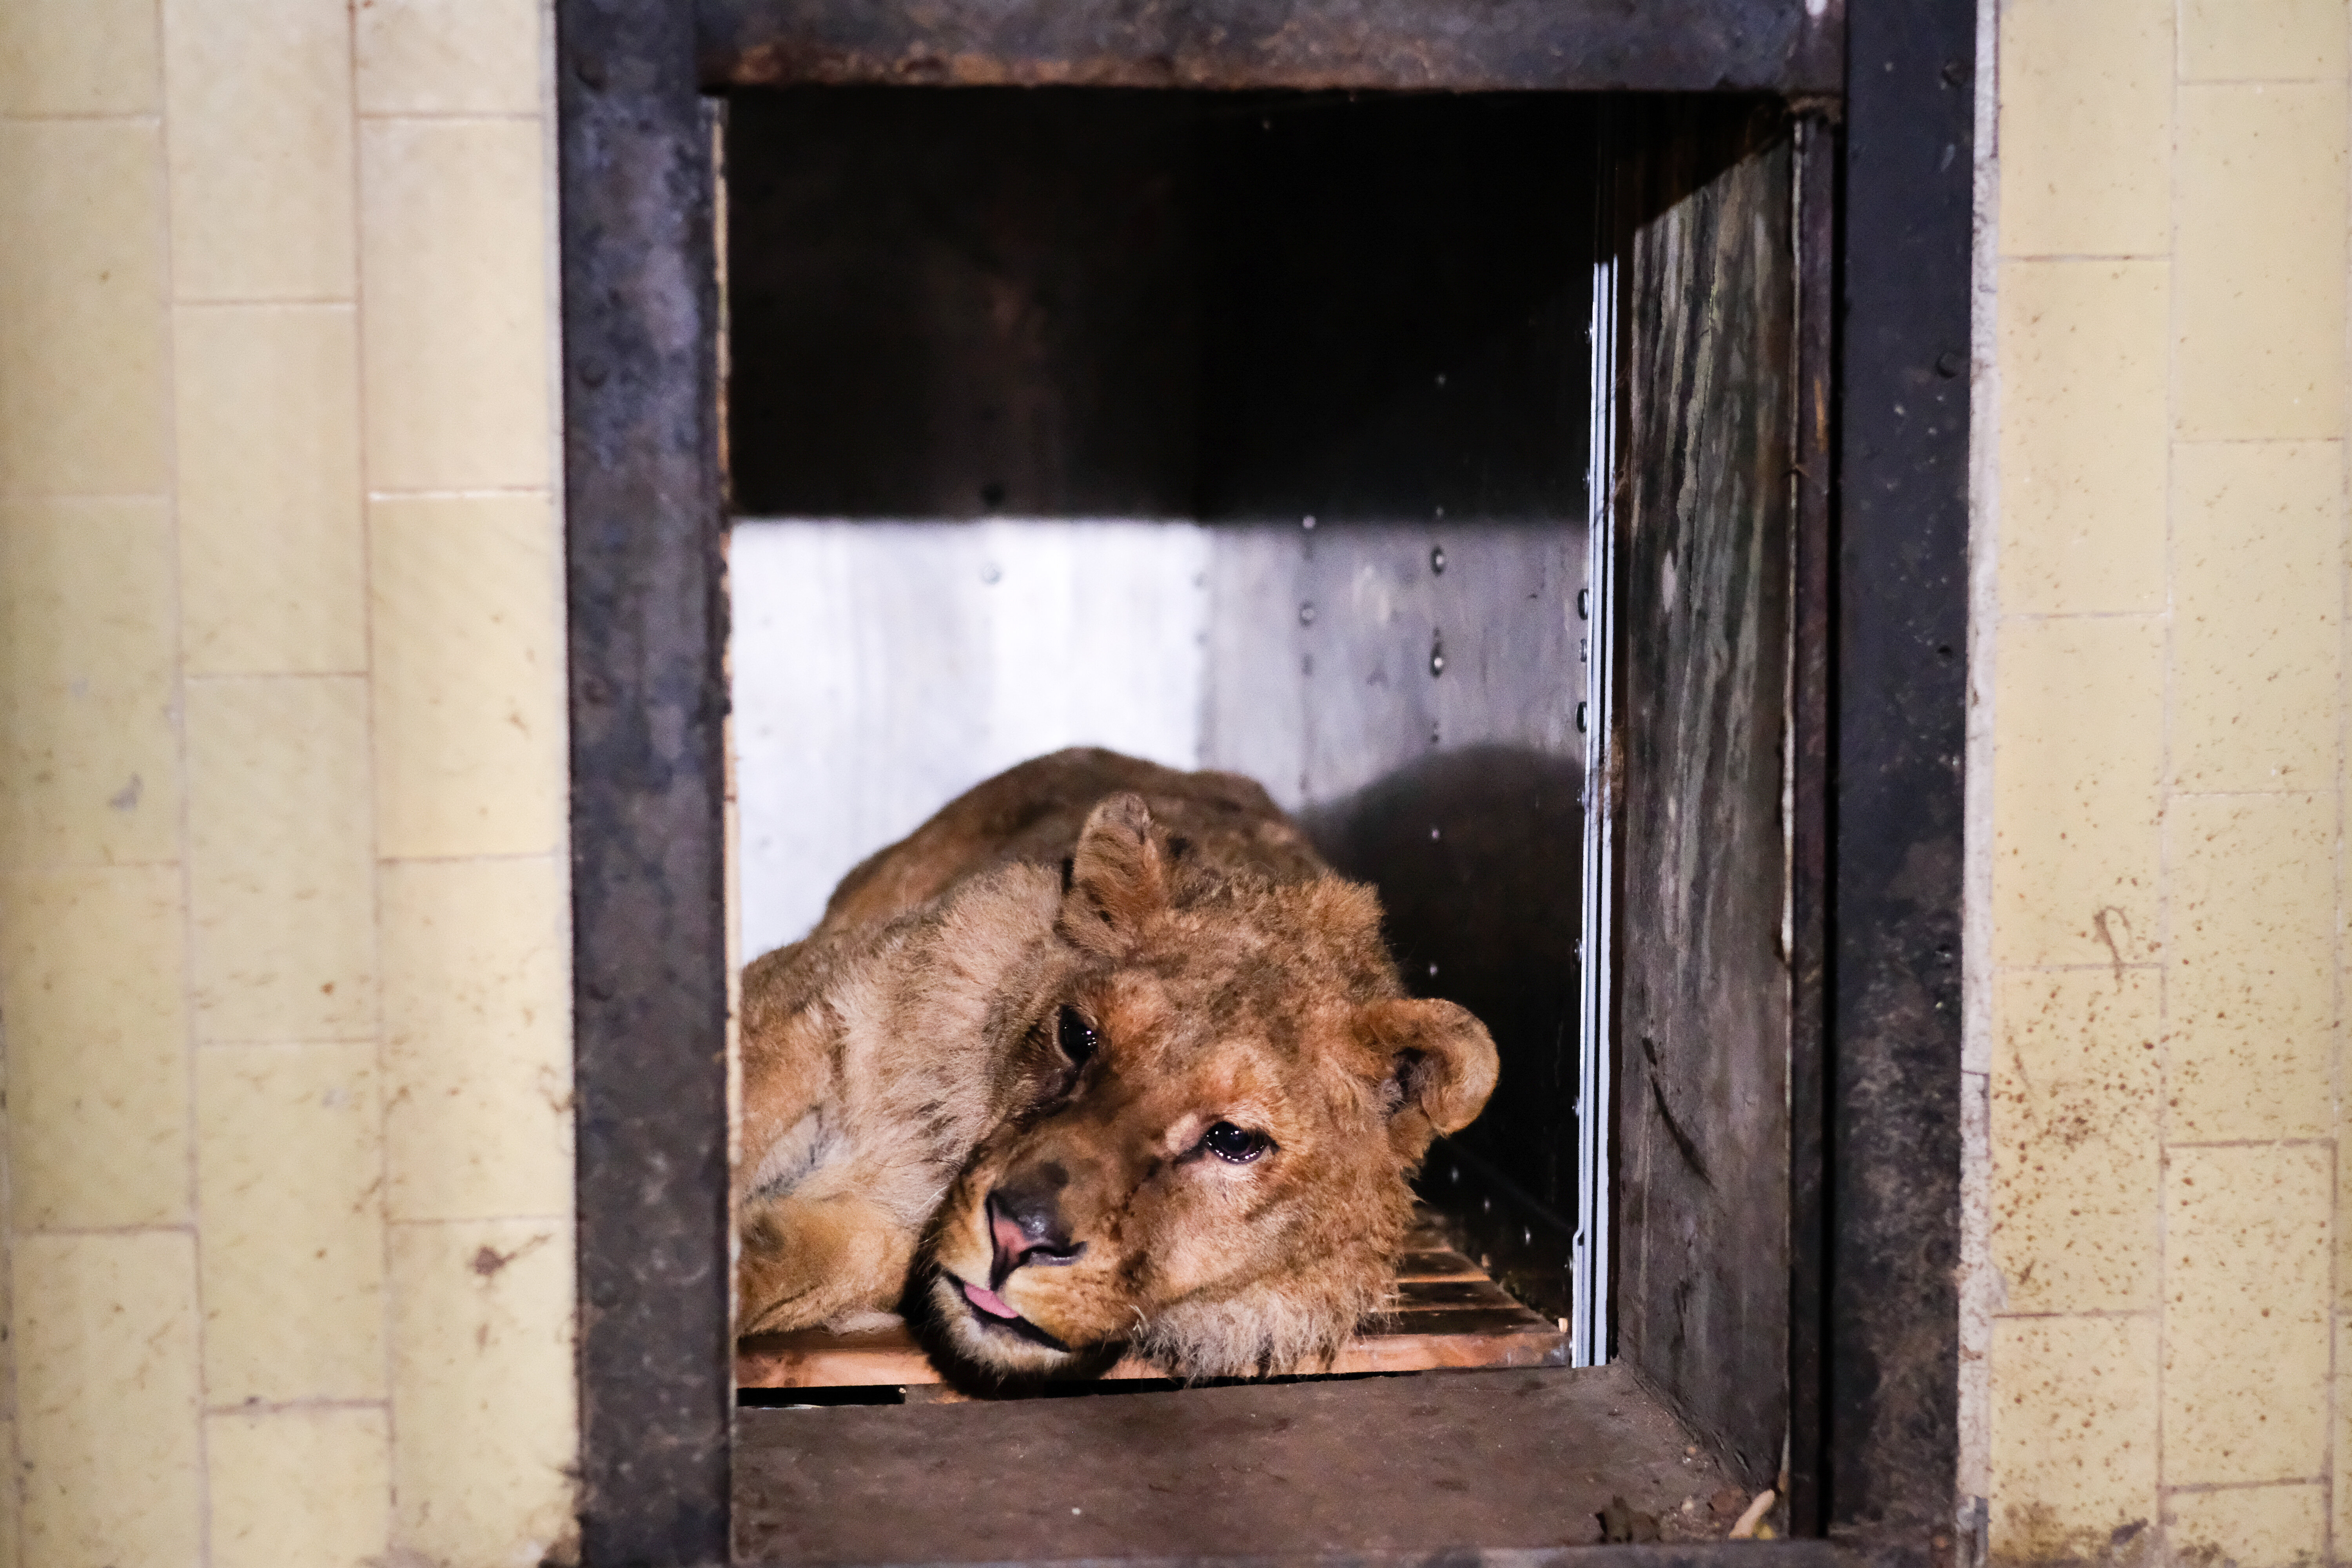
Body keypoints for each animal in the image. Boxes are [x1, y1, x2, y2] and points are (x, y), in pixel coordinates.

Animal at [735, 747, 1499, 1381]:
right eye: (1078, 1036)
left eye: (1233, 1139)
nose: (1017, 1236)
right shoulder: (813, 1005)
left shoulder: (889, 1239)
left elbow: (809, 1254)